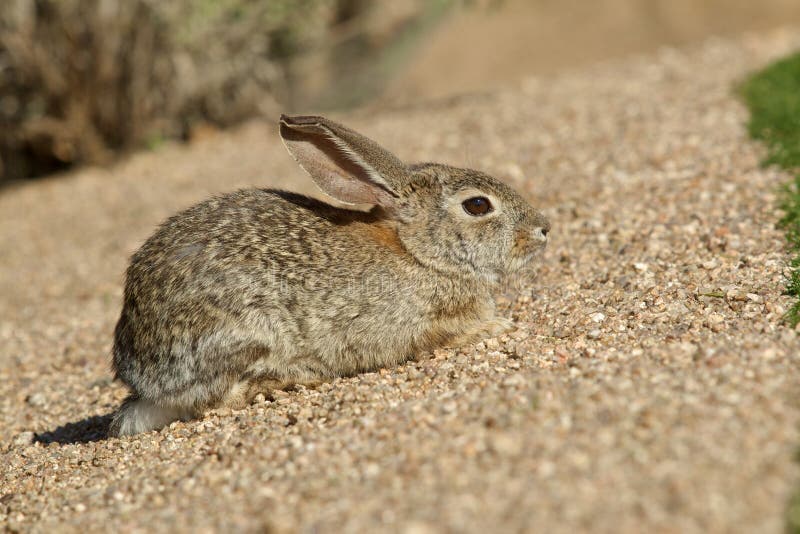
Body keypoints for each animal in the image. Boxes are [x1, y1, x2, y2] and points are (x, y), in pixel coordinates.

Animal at [108, 114, 550, 437]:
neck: (419, 252)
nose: (543, 229)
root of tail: (142, 380)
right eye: (477, 205)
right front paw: (495, 327)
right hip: (241, 335)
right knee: (219, 399)